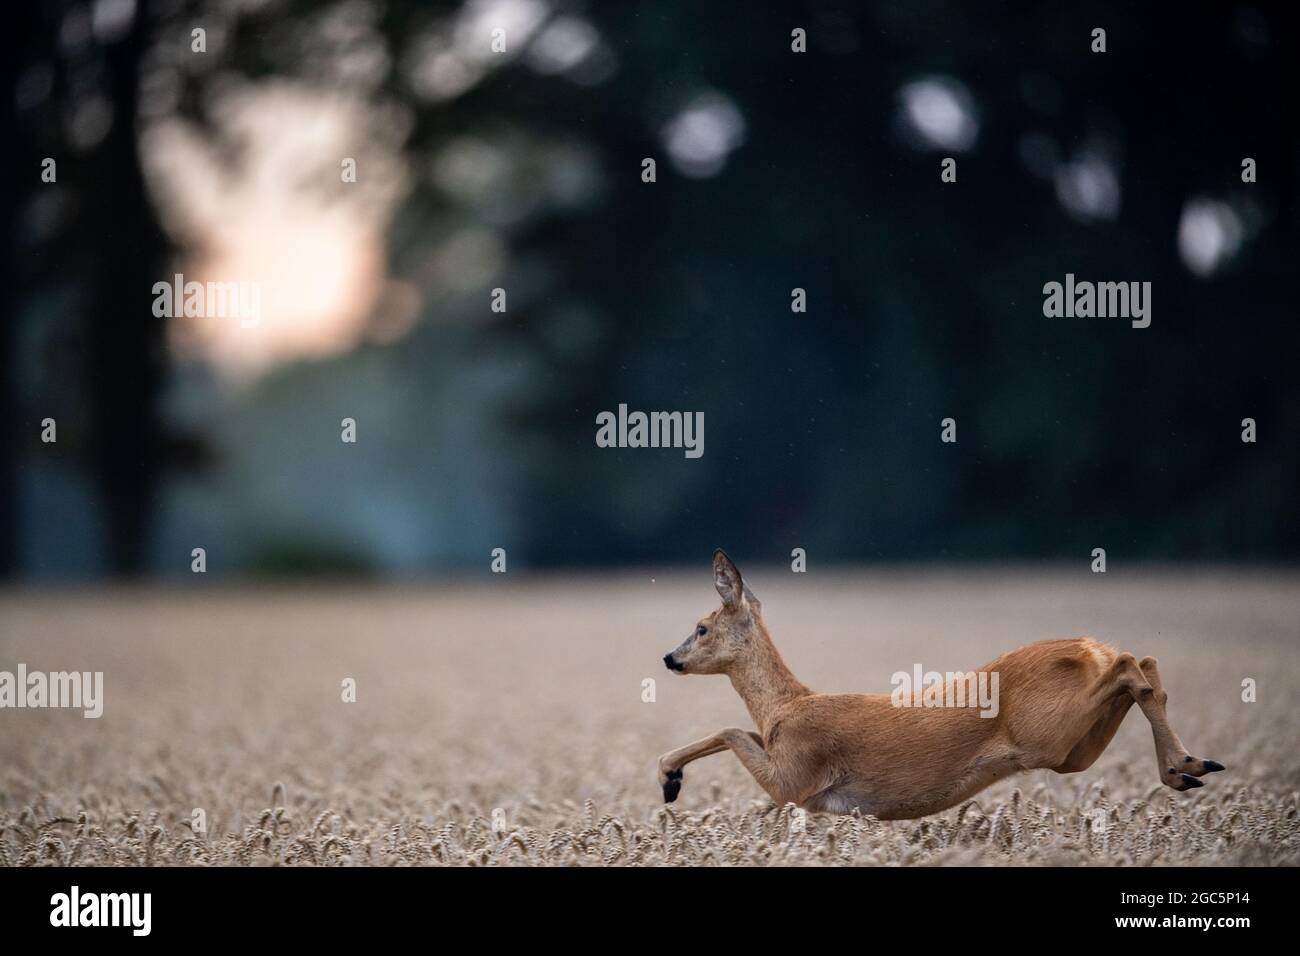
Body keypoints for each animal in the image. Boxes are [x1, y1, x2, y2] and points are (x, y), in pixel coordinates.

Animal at [657, 550, 1225, 820]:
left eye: (701, 627)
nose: (669, 658)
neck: (783, 707)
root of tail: (1089, 646)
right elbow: (738, 732)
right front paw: (669, 777)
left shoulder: (794, 780)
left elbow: (731, 730)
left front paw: (668, 778)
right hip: (1072, 748)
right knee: (1143, 663)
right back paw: (1187, 768)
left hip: (1049, 732)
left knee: (1131, 662)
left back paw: (1186, 765)